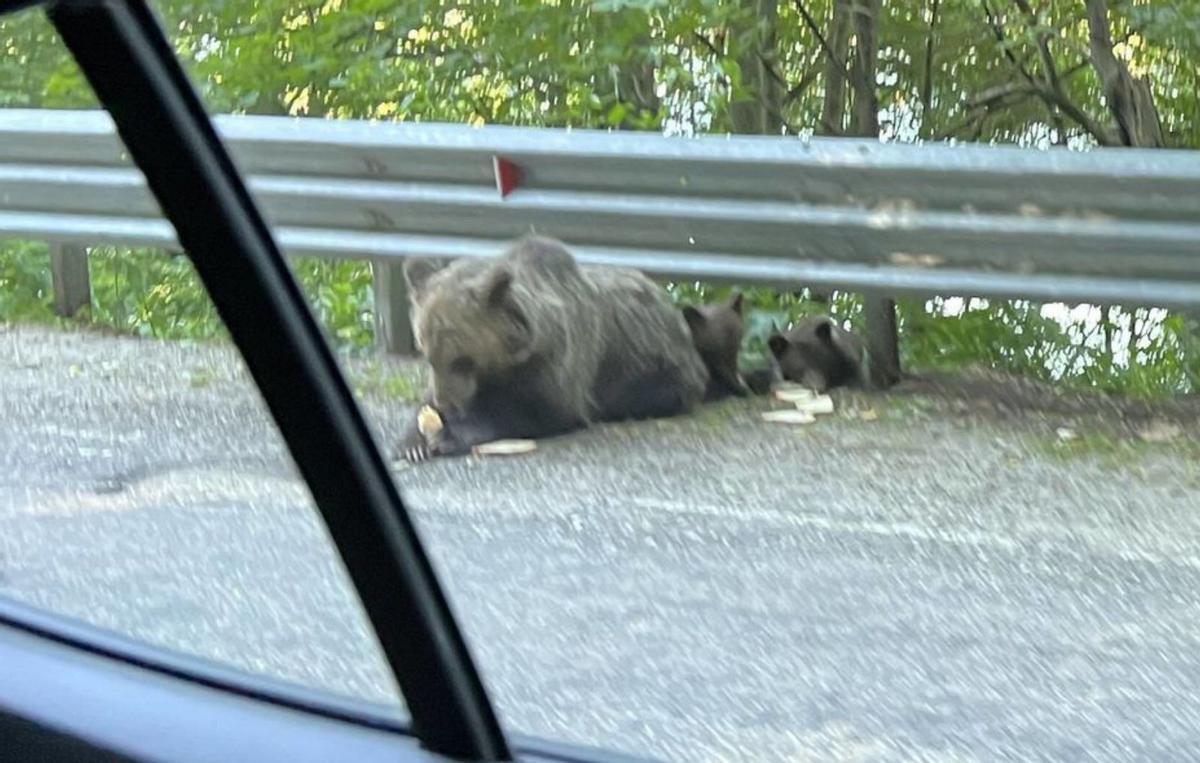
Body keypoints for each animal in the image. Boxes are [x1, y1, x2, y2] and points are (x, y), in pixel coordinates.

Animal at [397, 235, 710, 461]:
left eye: (462, 360)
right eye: (428, 357)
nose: (446, 405)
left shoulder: (557, 365)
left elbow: (535, 411)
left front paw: (448, 436)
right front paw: (413, 443)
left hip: (659, 366)